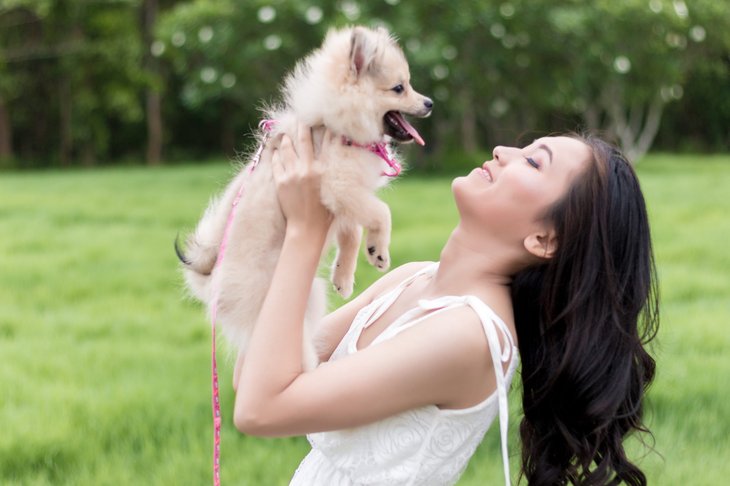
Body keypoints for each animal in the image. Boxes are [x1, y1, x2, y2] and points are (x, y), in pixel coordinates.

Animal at [175, 25, 432, 368]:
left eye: (409, 85)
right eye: (399, 88)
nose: (430, 102)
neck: (337, 125)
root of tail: (211, 285)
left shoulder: (343, 201)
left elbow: (351, 235)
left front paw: (344, 276)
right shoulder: (339, 185)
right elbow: (380, 213)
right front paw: (378, 250)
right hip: (293, 302)